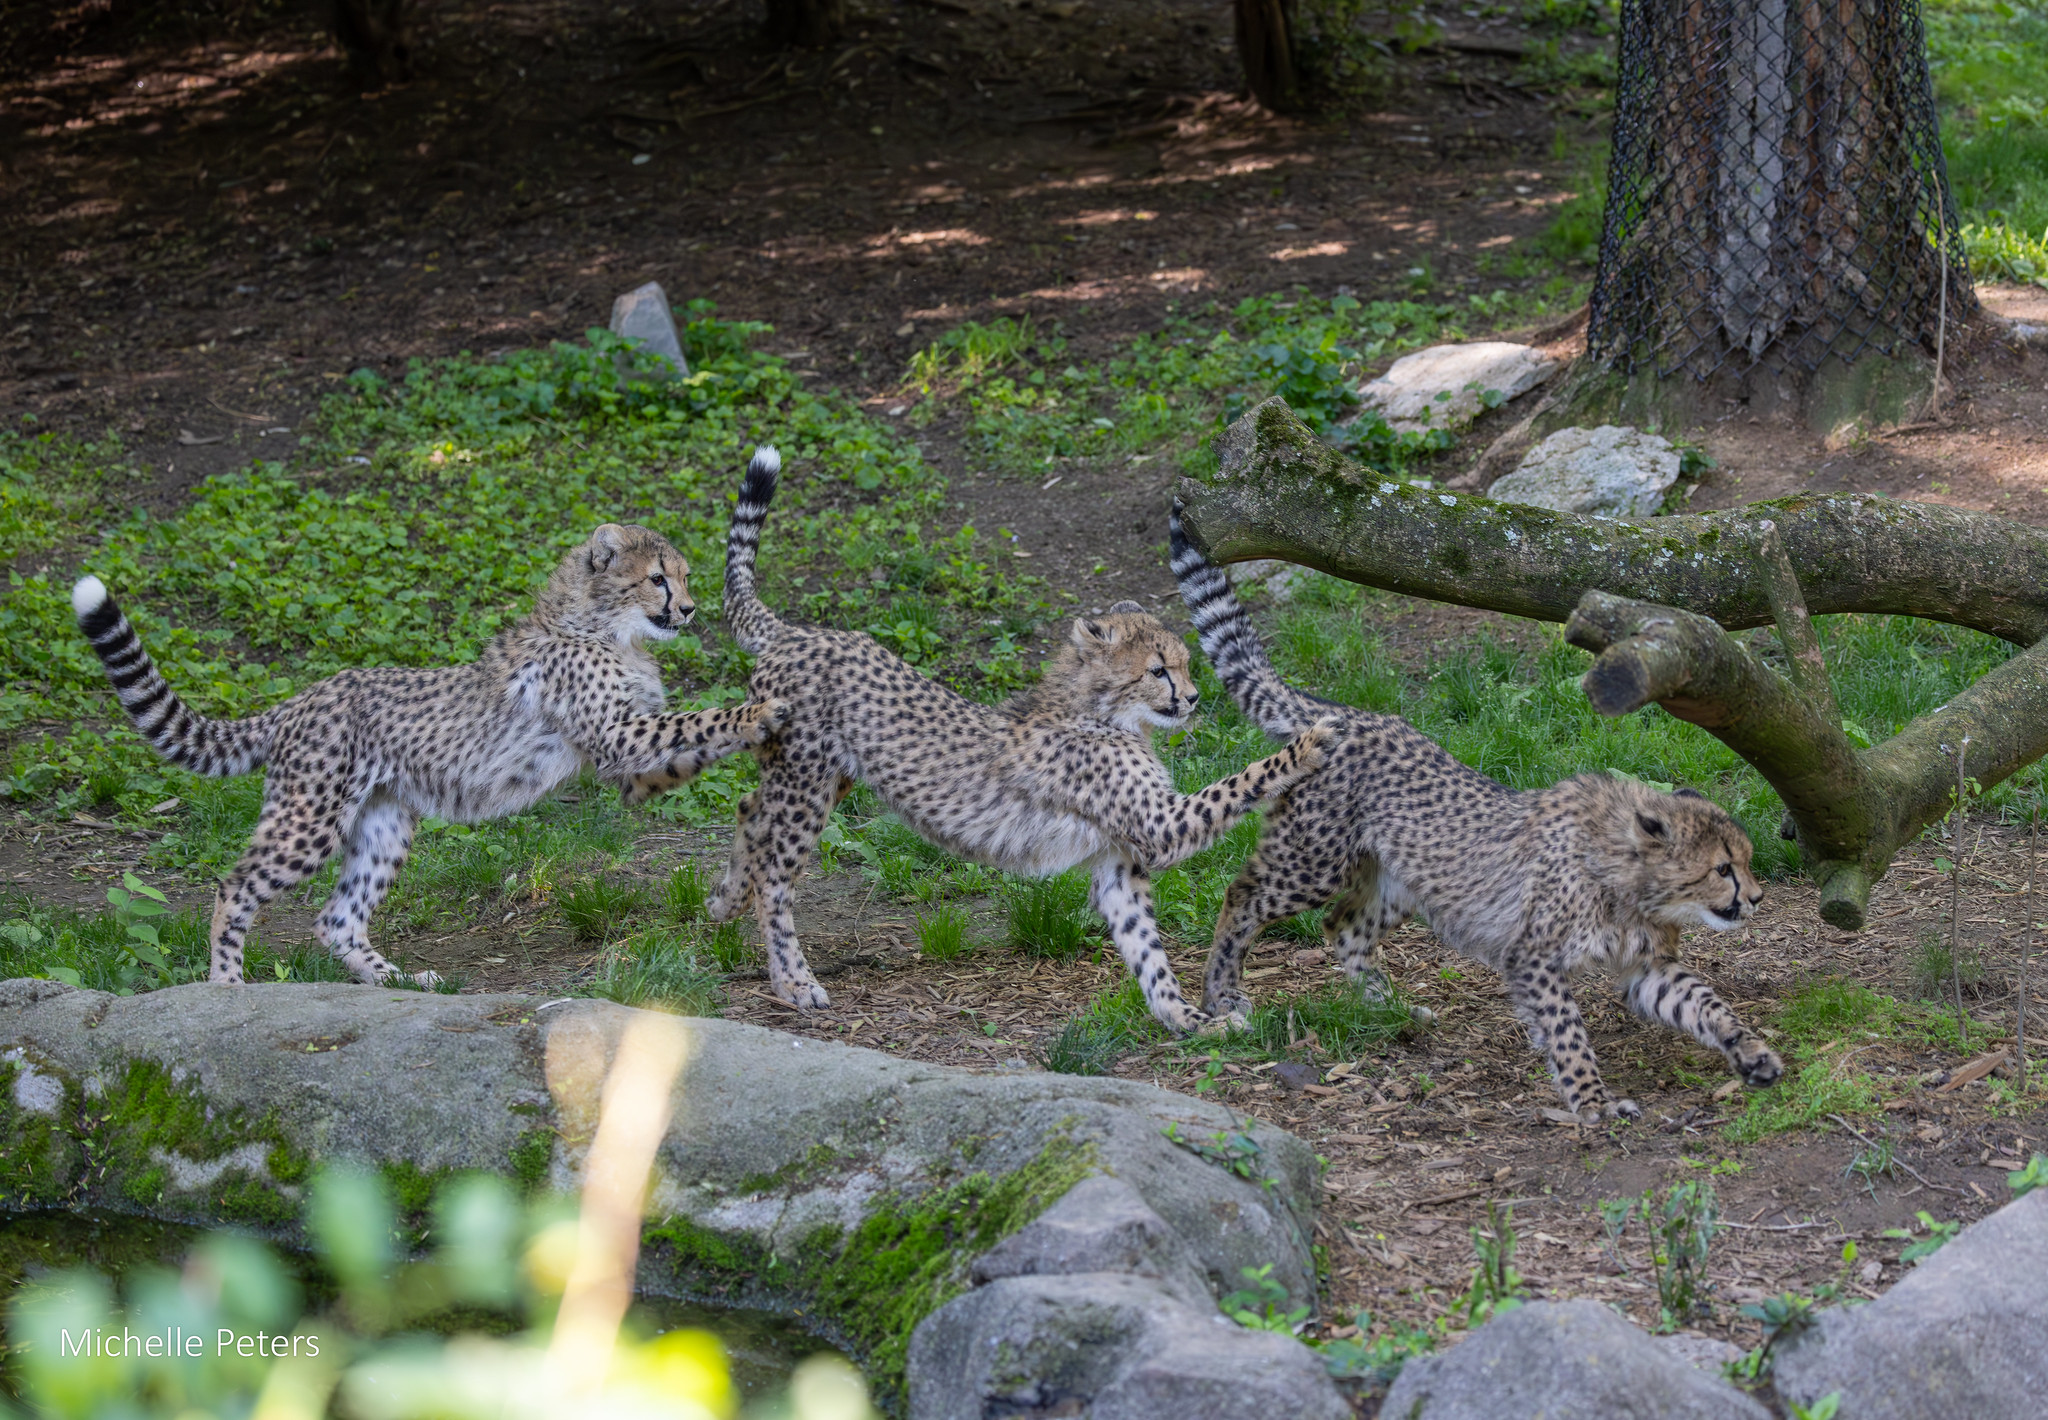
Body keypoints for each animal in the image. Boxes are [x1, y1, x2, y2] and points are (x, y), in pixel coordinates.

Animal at [73, 523, 786, 987]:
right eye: (657, 580)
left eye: (686, 578)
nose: (689, 609)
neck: (606, 628)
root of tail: (304, 697)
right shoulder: (614, 734)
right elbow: (696, 720)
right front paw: (756, 711)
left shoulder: (622, 753)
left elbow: (683, 744)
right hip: (310, 819)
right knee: (234, 885)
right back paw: (226, 985)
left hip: (384, 823)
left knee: (337, 918)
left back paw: (396, 980)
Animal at [709, 447, 1338, 1032]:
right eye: (1159, 671)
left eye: (1185, 664)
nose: (1192, 699)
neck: (1104, 714)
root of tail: (796, 633)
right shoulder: (1158, 825)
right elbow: (1235, 783)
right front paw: (1306, 745)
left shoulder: (1119, 862)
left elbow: (1147, 950)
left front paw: (1186, 1018)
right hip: (806, 782)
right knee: (776, 874)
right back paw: (792, 978)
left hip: (821, 776)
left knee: (750, 808)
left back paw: (724, 899)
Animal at [1170, 502, 1782, 1119]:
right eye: (1722, 869)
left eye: (1746, 862)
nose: (1756, 898)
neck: (1626, 876)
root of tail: (1349, 715)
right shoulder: (1534, 959)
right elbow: (1568, 1032)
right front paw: (1592, 1101)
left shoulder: (1646, 966)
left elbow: (1705, 1001)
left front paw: (1750, 1051)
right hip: (1314, 863)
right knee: (1242, 895)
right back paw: (1223, 994)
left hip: (1403, 881)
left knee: (1343, 924)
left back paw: (1387, 1007)